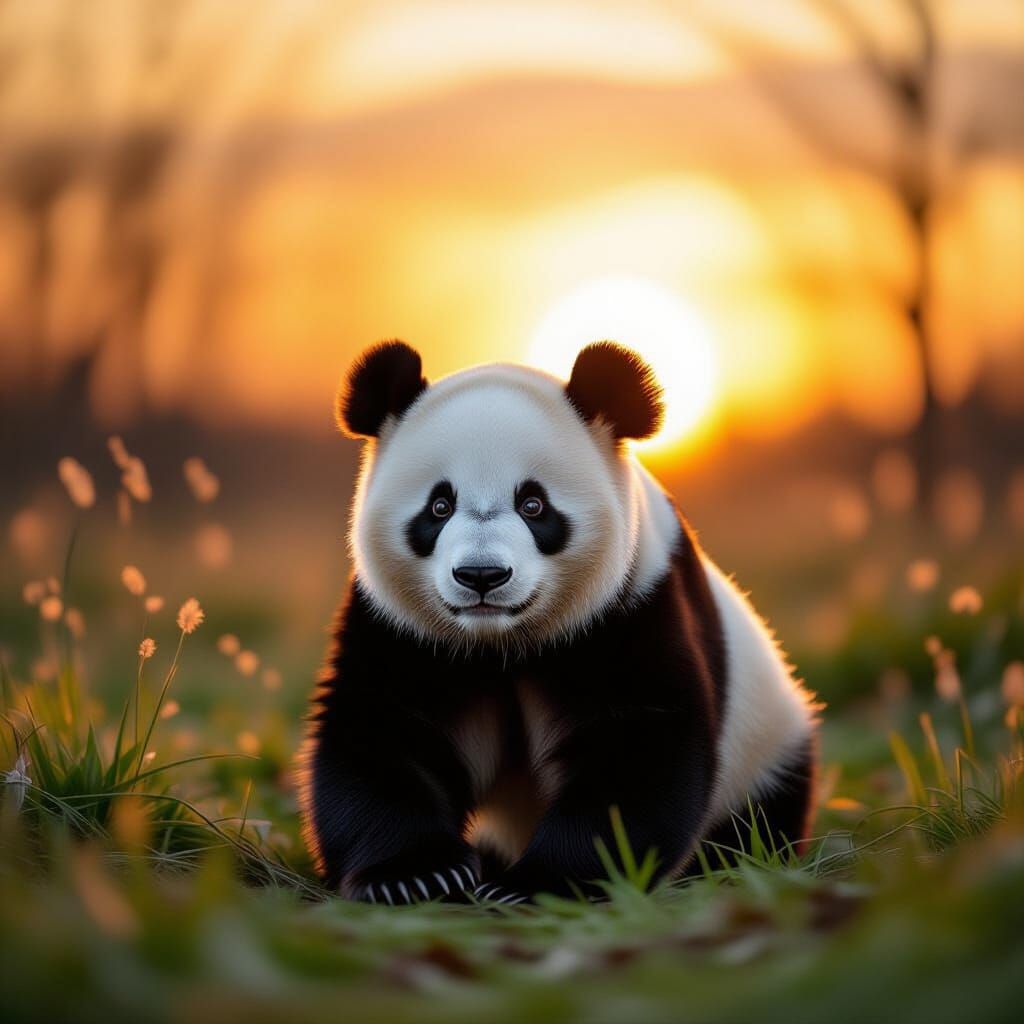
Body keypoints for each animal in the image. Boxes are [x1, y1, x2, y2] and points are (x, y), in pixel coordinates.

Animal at [299, 340, 818, 905]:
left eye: (533, 504)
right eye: (439, 506)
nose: (482, 575)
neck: (500, 644)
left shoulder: (632, 603)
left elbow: (632, 751)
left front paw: (533, 887)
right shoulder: (400, 630)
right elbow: (382, 733)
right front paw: (414, 875)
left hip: (765, 741)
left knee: (759, 817)